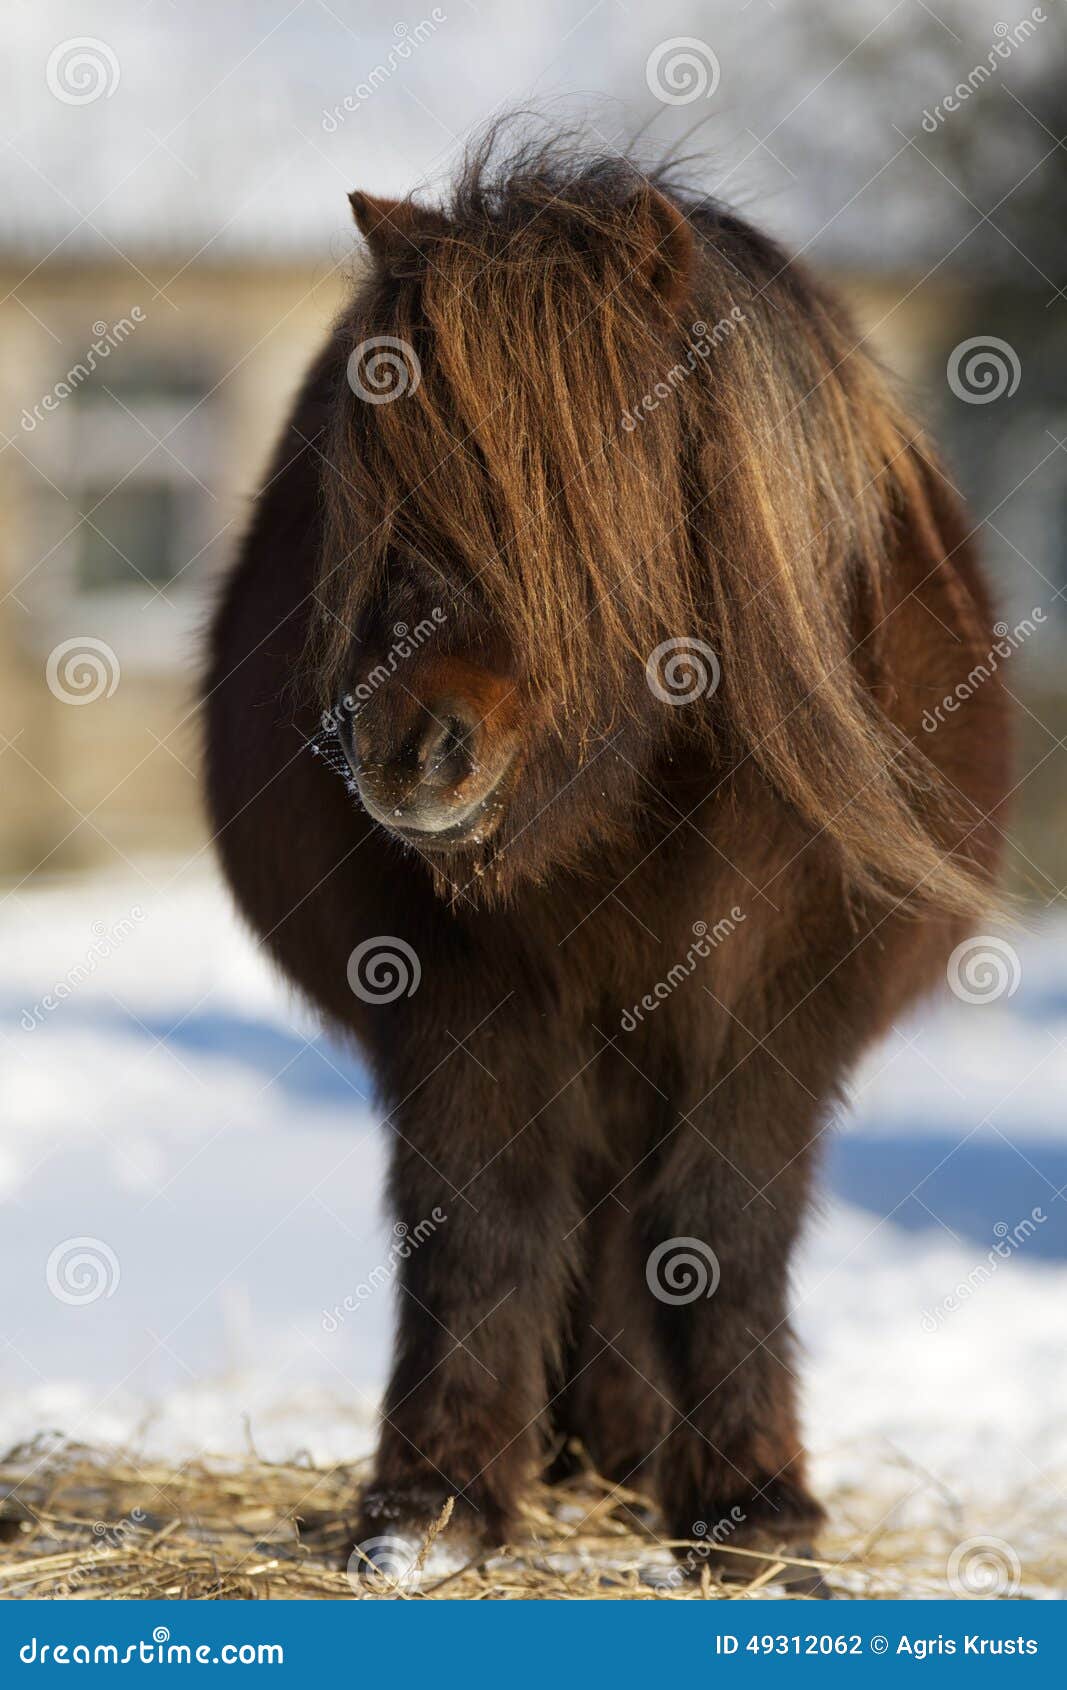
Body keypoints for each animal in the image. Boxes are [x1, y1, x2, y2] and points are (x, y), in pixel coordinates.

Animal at [204, 130, 1011, 1577]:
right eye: (367, 486)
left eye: (578, 484)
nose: (404, 753)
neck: (647, 792)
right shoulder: (460, 995)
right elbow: (480, 1215)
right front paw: (432, 1503)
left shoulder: (779, 998)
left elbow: (725, 1222)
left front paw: (752, 1506)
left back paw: (634, 1452)